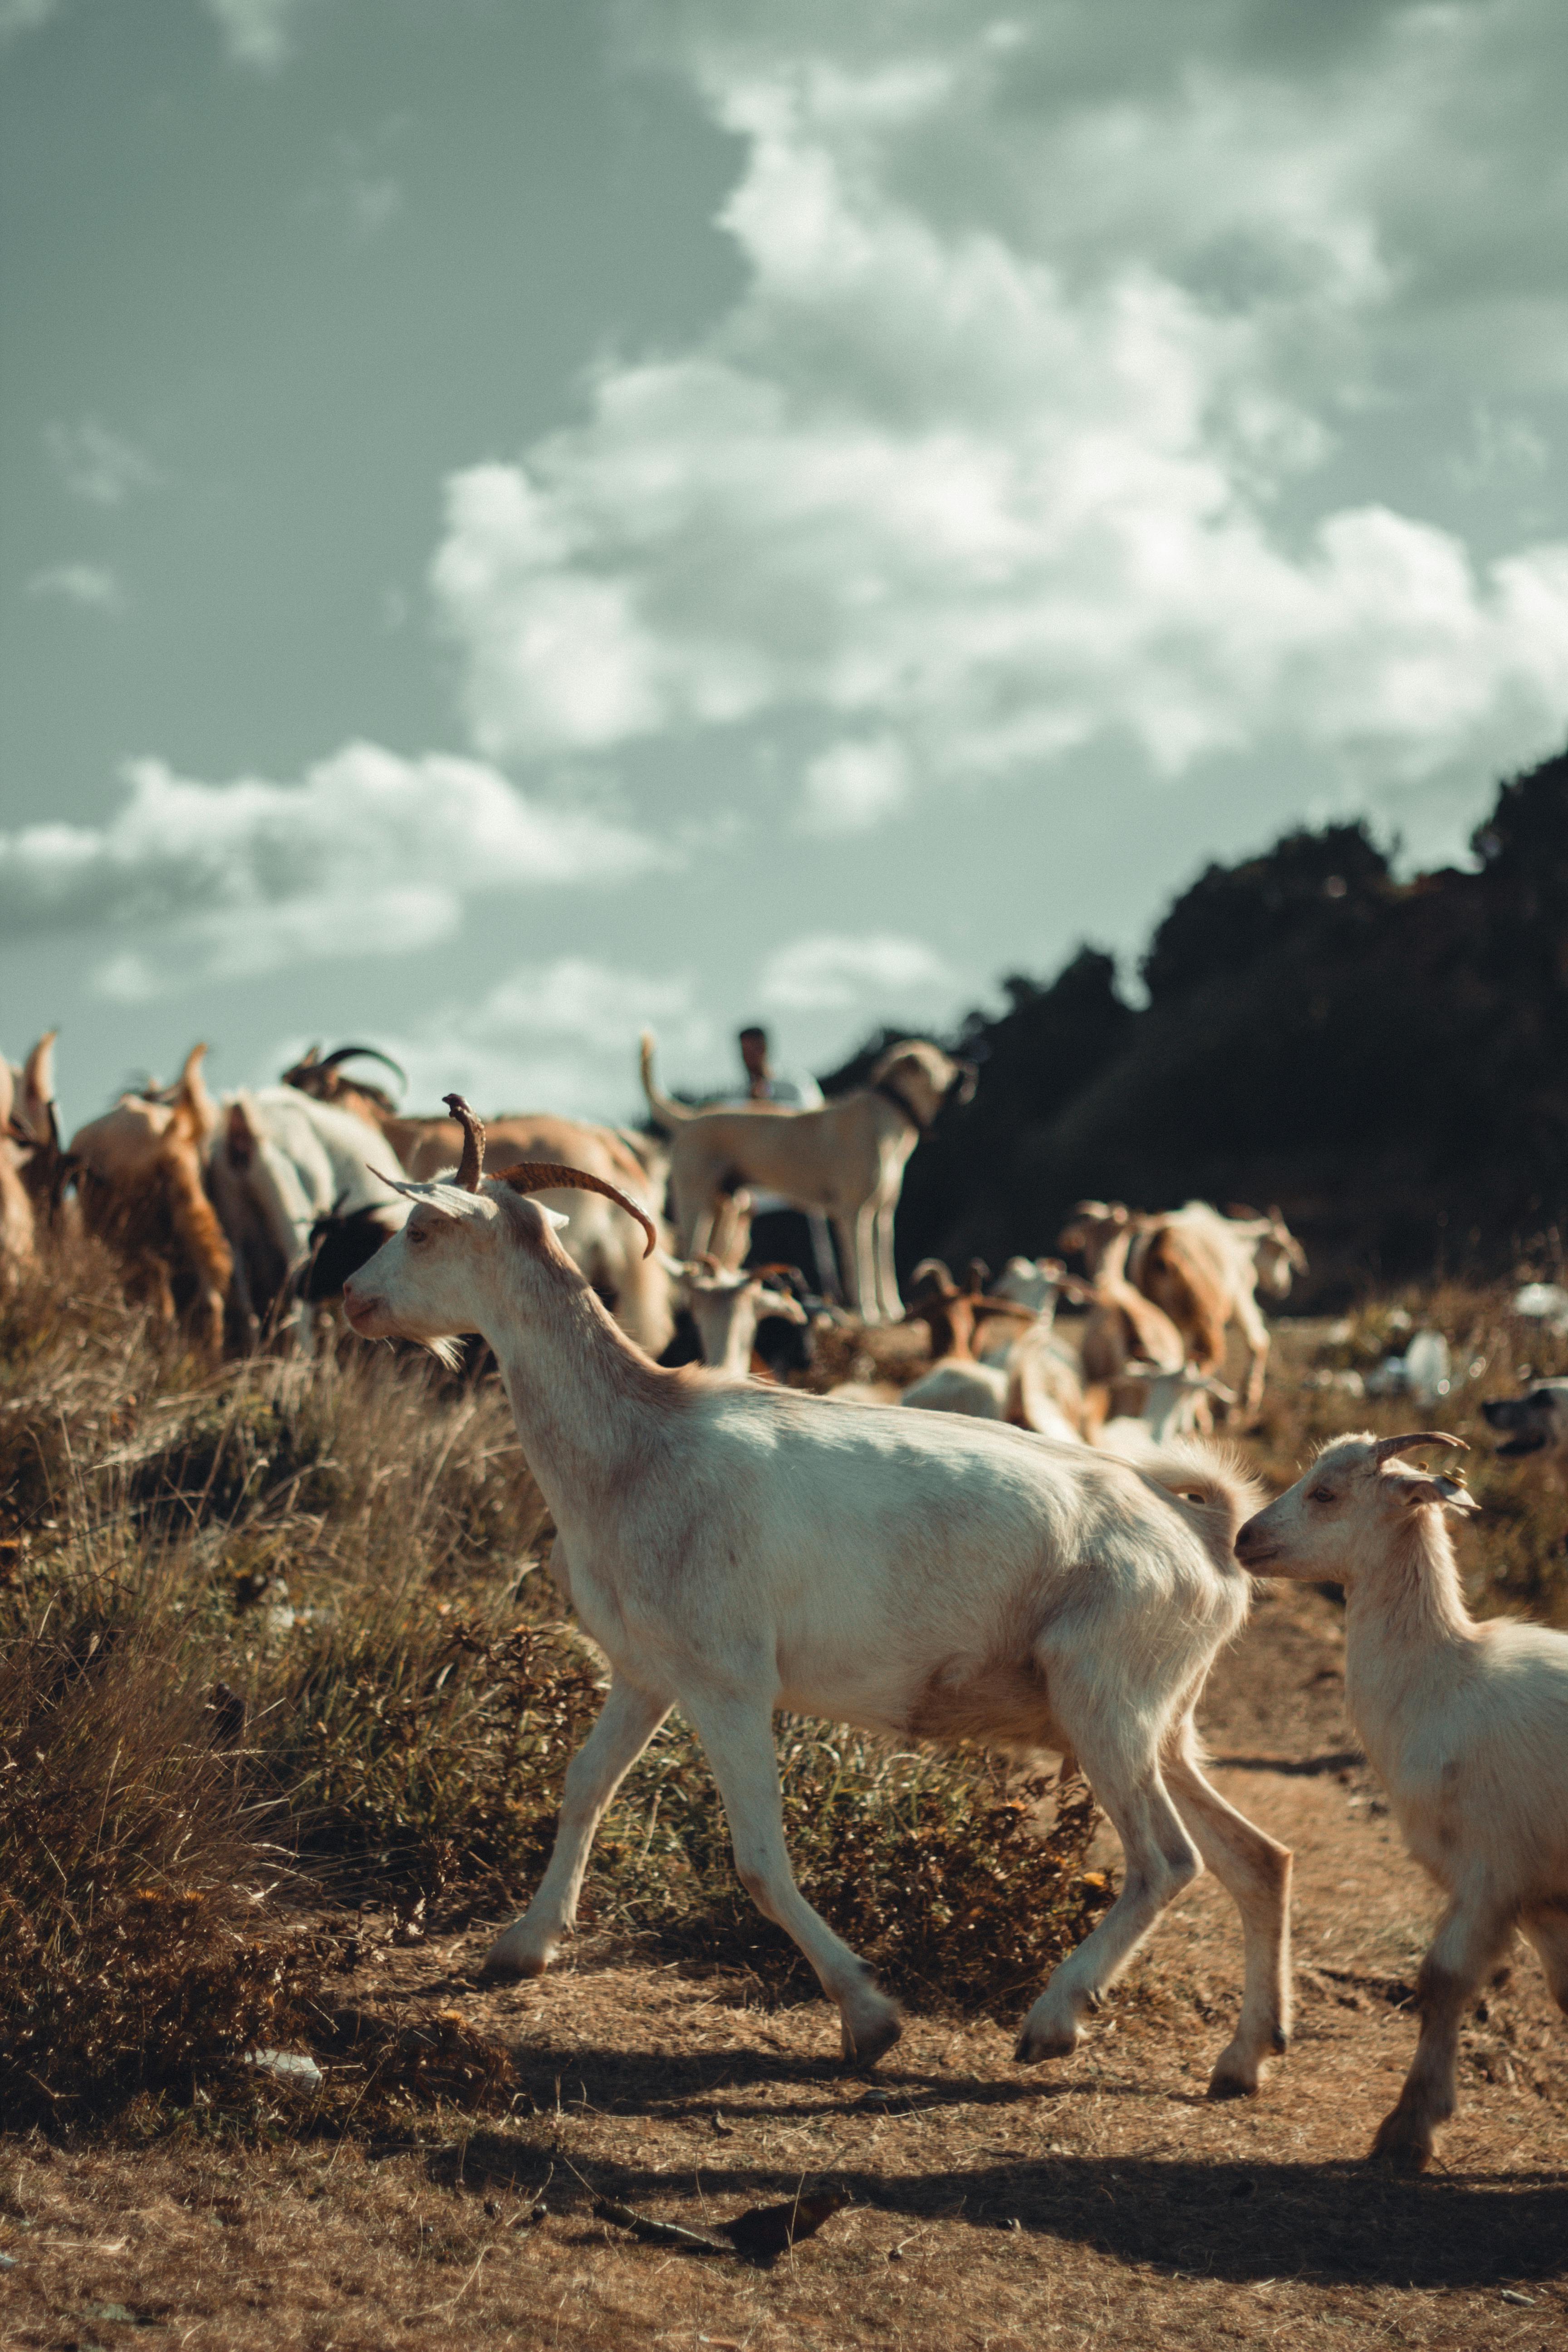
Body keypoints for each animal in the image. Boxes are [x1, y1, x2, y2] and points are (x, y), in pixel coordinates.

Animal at [342, 1096, 1291, 2096]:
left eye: (419, 1226)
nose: (351, 1297)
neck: (638, 1445)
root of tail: (1206, 1541)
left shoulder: (729, 1684)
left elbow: (759, 1861)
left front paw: (869, 2016)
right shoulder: (647, 1672)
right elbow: (584, 1785)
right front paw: (524, 1944)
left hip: (1102, 1703)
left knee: (1167, 1862)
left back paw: (1054, 2019)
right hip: (1160, 1723)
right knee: (1258, 1859)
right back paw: (1245, 2056)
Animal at [642, 1033, 975, 1324]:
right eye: (944, 1061)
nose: (972, 1070)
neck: (891, 1111)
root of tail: (689, 1119)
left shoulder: (882, 1214)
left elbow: (884, 1267)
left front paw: (892, 1311)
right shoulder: (853, 1214)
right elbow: (861, 1269)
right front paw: (868, 1314)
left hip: (726, 1208)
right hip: (696, 1203)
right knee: (688, 1256)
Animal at [1236, 1432, 1568, 2169]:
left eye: (1326, 1493)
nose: (1245, 1538)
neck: (1445, 1679)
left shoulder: (1491, 1871)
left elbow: (1441, 1981)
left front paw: (1408, 2129)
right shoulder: (1540, 1897)